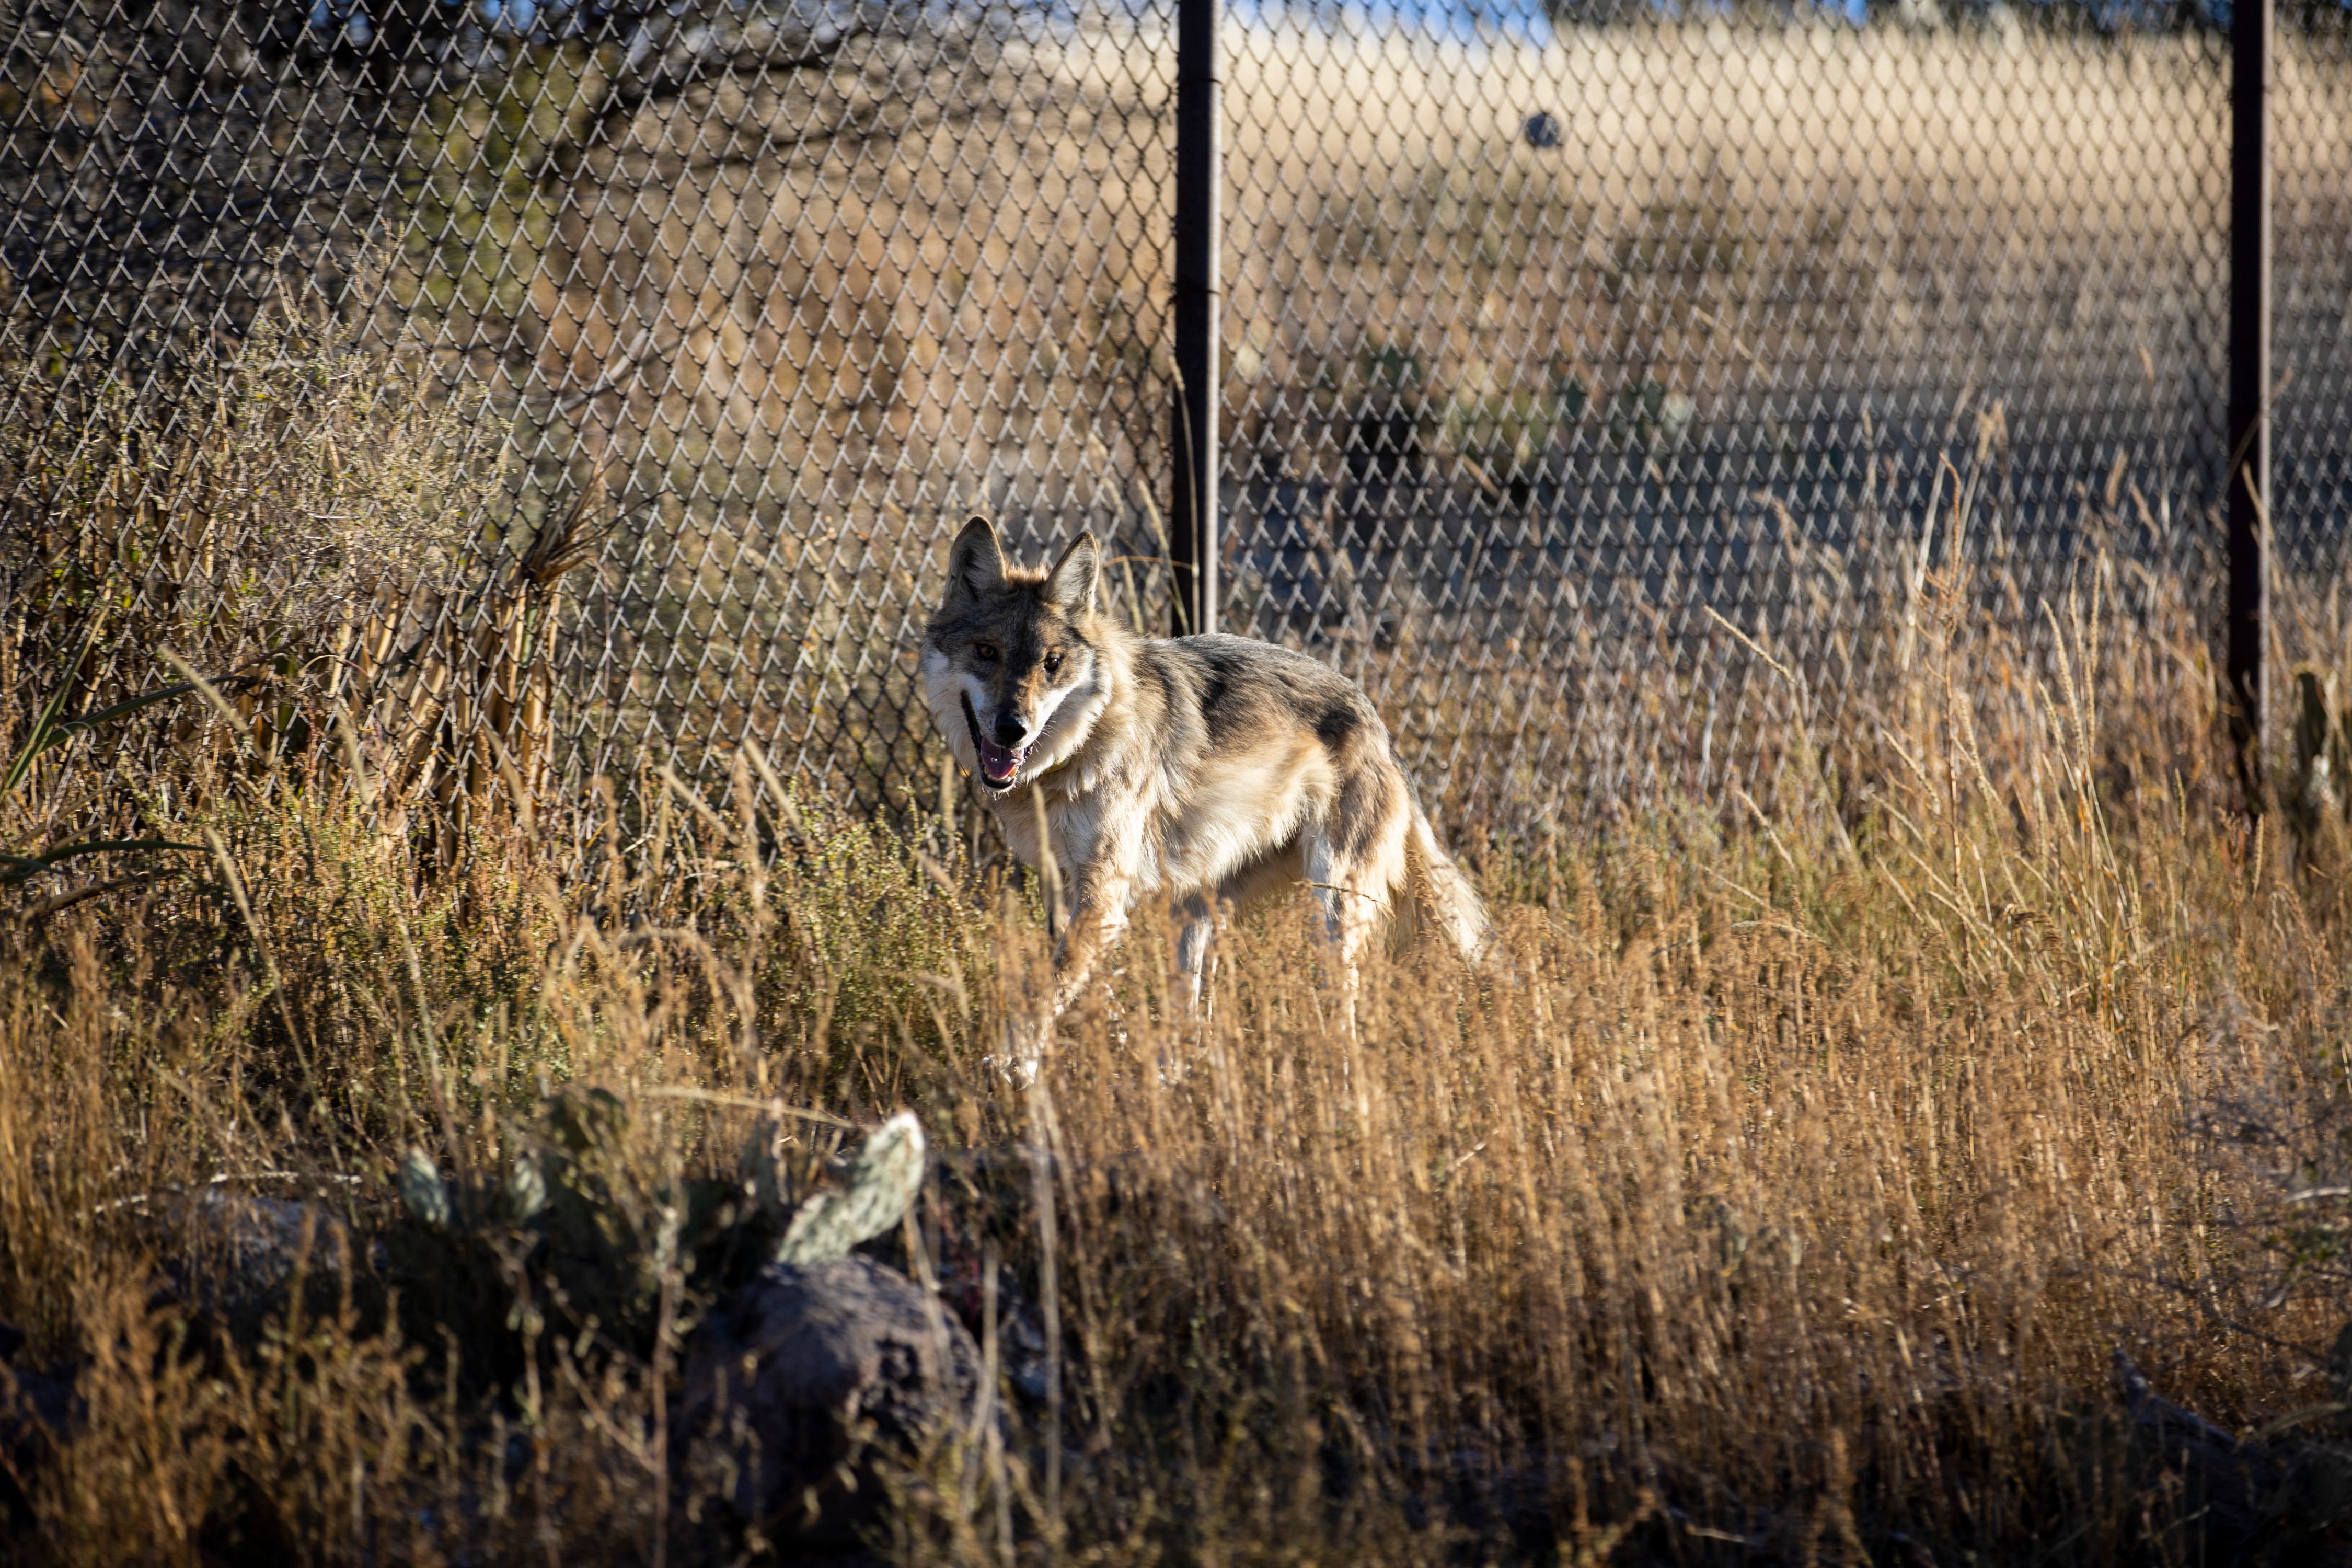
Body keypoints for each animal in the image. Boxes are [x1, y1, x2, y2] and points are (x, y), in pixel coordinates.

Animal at [920, 516, 1488, 1038]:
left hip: (1331, 909)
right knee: (1191, 1021)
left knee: (1342, 1017)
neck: (1078, 753)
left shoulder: (1103, 898)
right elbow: (1066, 987)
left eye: (1052, 663)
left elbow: (1039, 1001)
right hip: (1197, 911)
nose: (1012, 729)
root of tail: (1378, 724)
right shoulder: (1067, 890)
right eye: (987, 652)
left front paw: (1010, 1070)